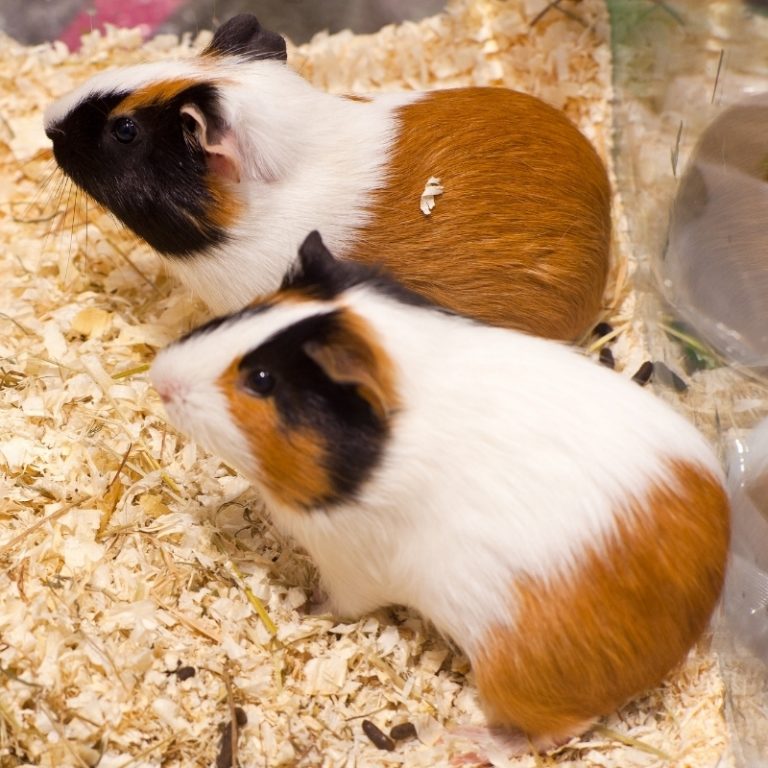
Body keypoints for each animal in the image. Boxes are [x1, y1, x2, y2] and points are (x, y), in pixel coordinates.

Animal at [150, 230, 729, 750]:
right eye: (250, 311)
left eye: (262, 380)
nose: (159, 377)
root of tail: (684, 630)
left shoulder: (351, 564)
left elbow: (336, 604)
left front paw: (306, 612)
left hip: (511, 676)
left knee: (558, 730)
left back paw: (466, 741)